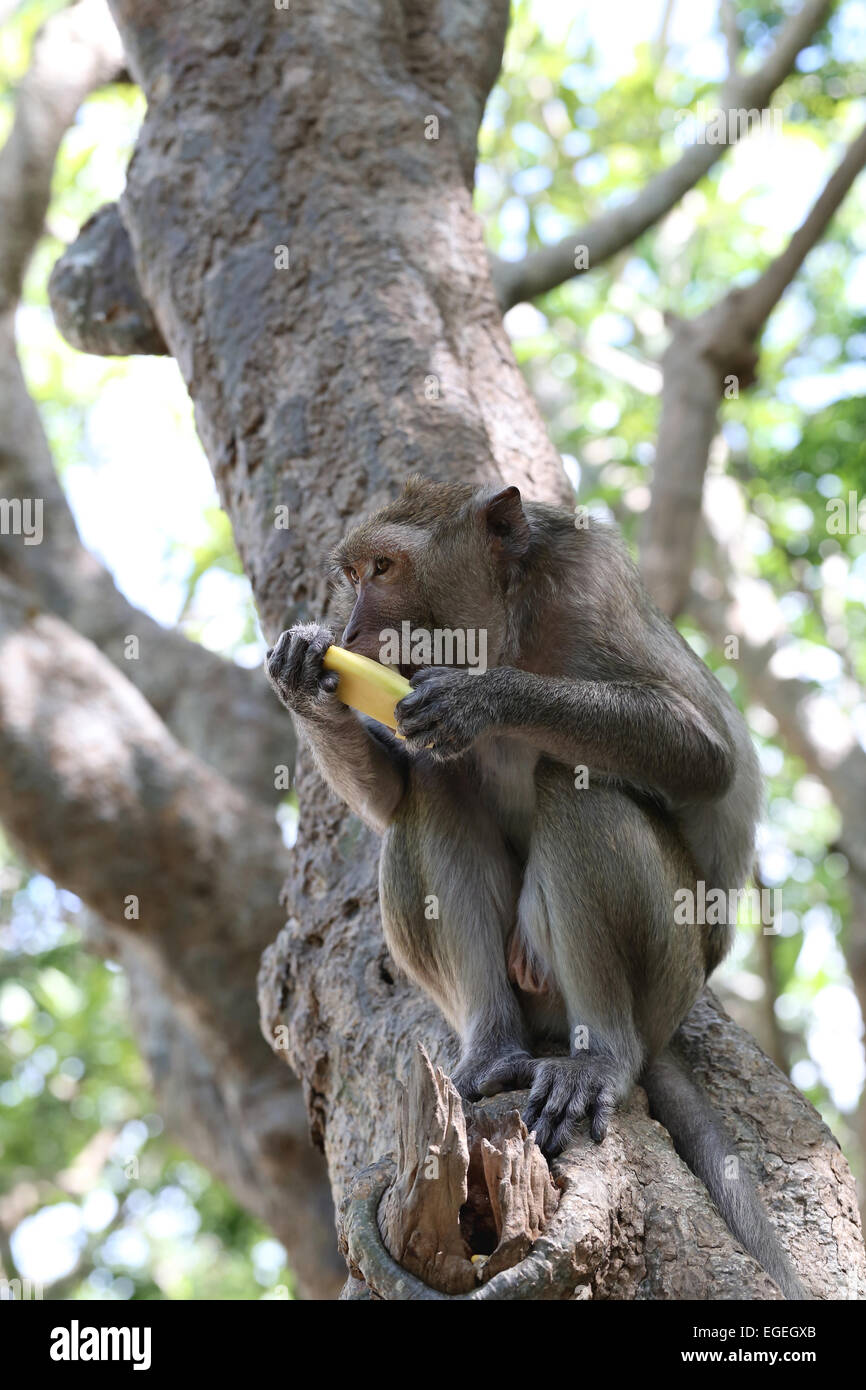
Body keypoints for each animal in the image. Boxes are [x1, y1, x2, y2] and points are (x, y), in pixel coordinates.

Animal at [265, 474, 806, 1300]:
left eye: (384, 569)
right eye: (352, 574)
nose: (351, 629)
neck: (502, 628)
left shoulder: (589, 584)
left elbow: (704, 753)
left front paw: (487, 698)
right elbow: (396, 793)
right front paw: (304, 676)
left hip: (669, 968)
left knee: (573, 779)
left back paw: (601, 1056)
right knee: (436, 784)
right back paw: (493, 1046)